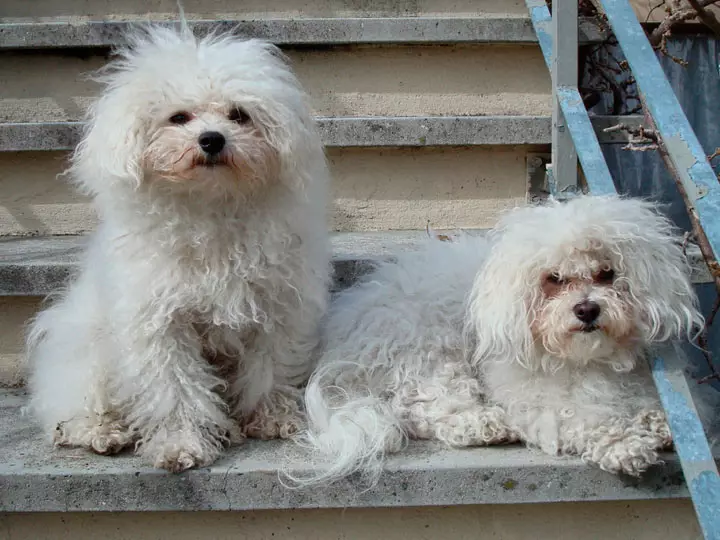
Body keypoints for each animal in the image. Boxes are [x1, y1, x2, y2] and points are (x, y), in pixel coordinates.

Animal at [27, 25, 332, 472]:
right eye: (179, 117)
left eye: (239, 114)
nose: (212, 139)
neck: (210, 209)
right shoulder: (159, 324)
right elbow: (175, 390)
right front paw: (181, 444)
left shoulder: (278, 310)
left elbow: (268, 369)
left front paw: (271, 417)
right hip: (87, 350)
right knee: (76, 402)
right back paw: (101, 432)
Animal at [288, 196, 704, 488]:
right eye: (554, 278)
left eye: (607, 272)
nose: (587, 310)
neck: (590, 360)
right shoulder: (538, 399)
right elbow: (581, 417)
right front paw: (624, 443)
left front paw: (658, 422)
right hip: (432, 350)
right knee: (421, 407)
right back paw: (486, 423)